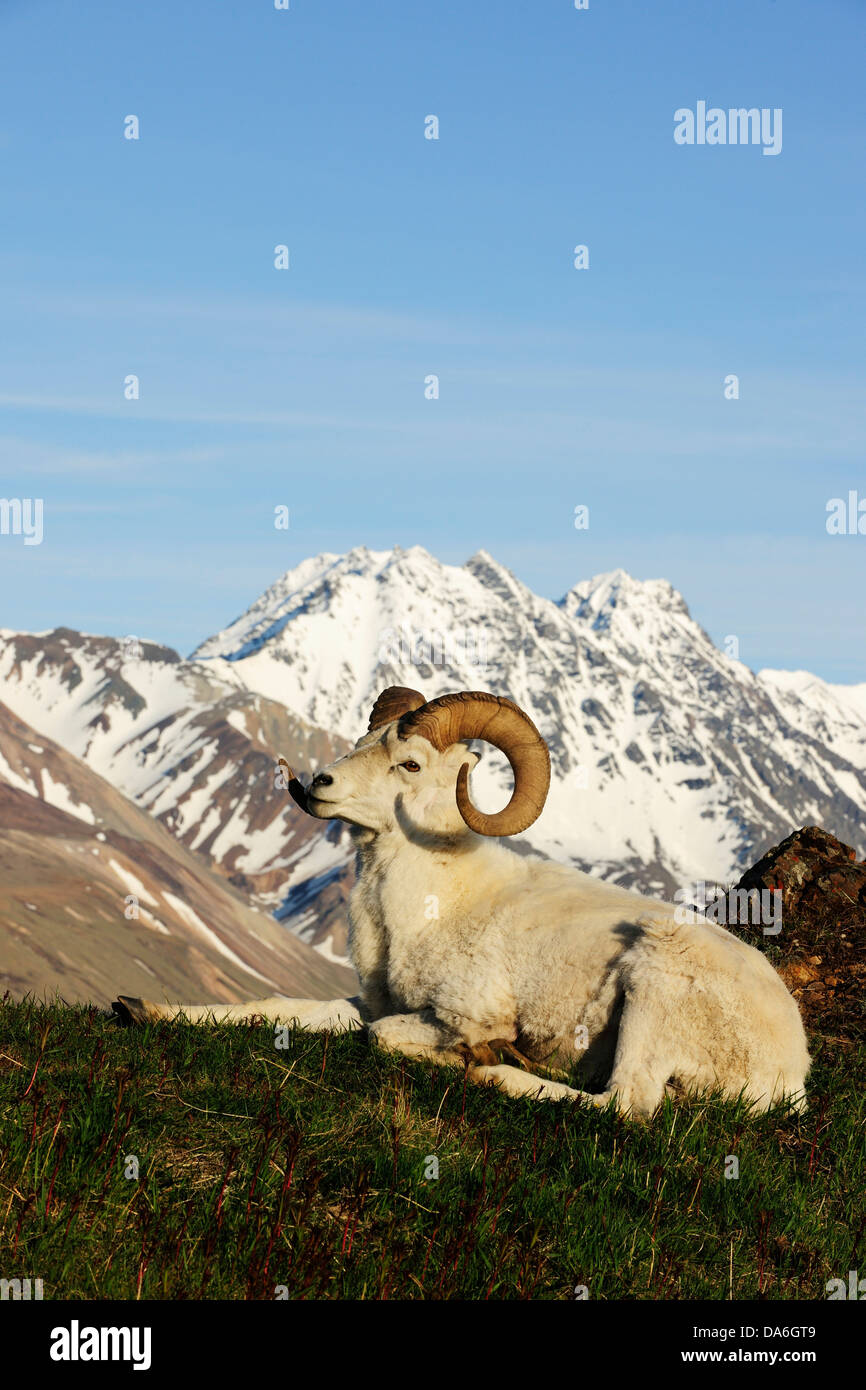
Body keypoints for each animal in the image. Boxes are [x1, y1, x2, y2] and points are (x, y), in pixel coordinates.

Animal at [114, 686, 810, 1117]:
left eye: (411, 764)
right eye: (364, 740)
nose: (318, 785)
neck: (429, 906)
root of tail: (789, 1070)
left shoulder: (457, 1014)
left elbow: (382, 1039)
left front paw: (476, 1053)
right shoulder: (370, 1002)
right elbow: (279, 1009)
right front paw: (141, 1009)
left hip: (654, 986)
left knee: (625, 1105)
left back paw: (492, 1069)